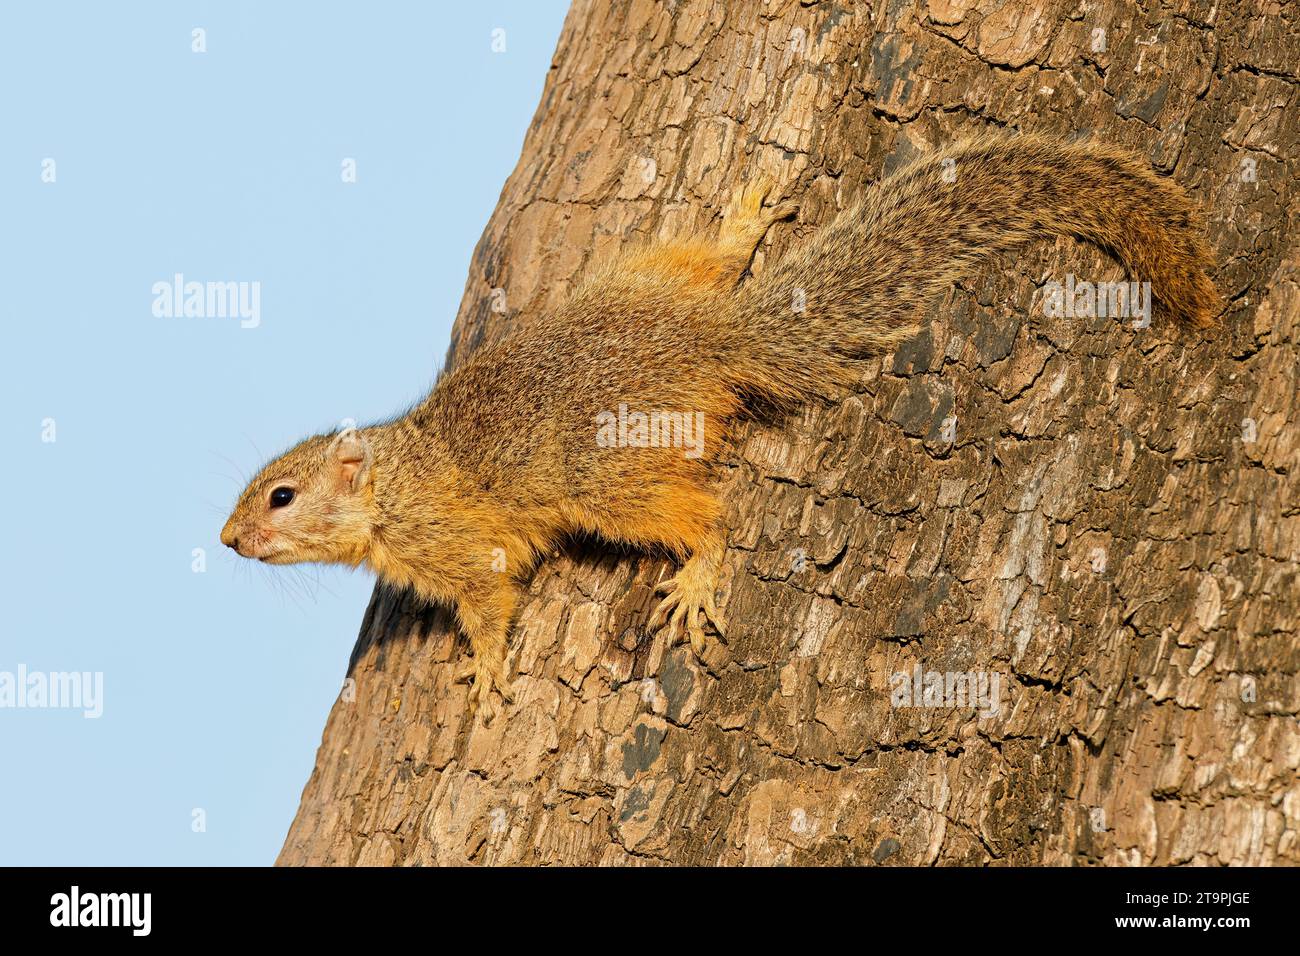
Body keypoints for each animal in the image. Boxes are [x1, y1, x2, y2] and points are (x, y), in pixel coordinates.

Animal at [221, 133, 1221, 721]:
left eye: (282, 496)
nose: (228, 540)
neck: (395, 484)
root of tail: (711, 341)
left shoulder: (464, 547)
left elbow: (493, 605)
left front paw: (489, 670)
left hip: (608, 478)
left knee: (704, 516)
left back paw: (697, 577)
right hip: (645, 277)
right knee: (707, 263)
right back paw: (741, 226)